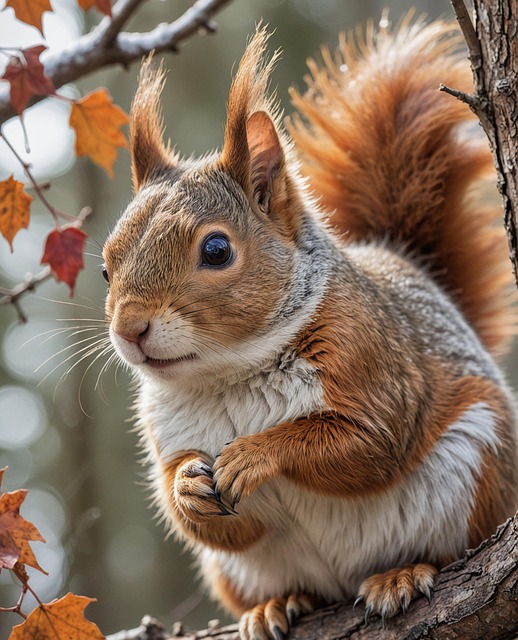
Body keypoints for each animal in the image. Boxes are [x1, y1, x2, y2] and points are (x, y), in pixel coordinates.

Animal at [102, 15, 518, 640]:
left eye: (217, 250)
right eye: (105, 266)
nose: (130, 329)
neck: (228, 375)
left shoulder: (371, 359)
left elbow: (366, 440)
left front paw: (254, 454)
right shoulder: (165, 429)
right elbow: (198, 516)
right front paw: (187, 485)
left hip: (477, 470)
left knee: (448, 549)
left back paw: (402, 574)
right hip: (237, 572)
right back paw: (276, 605)